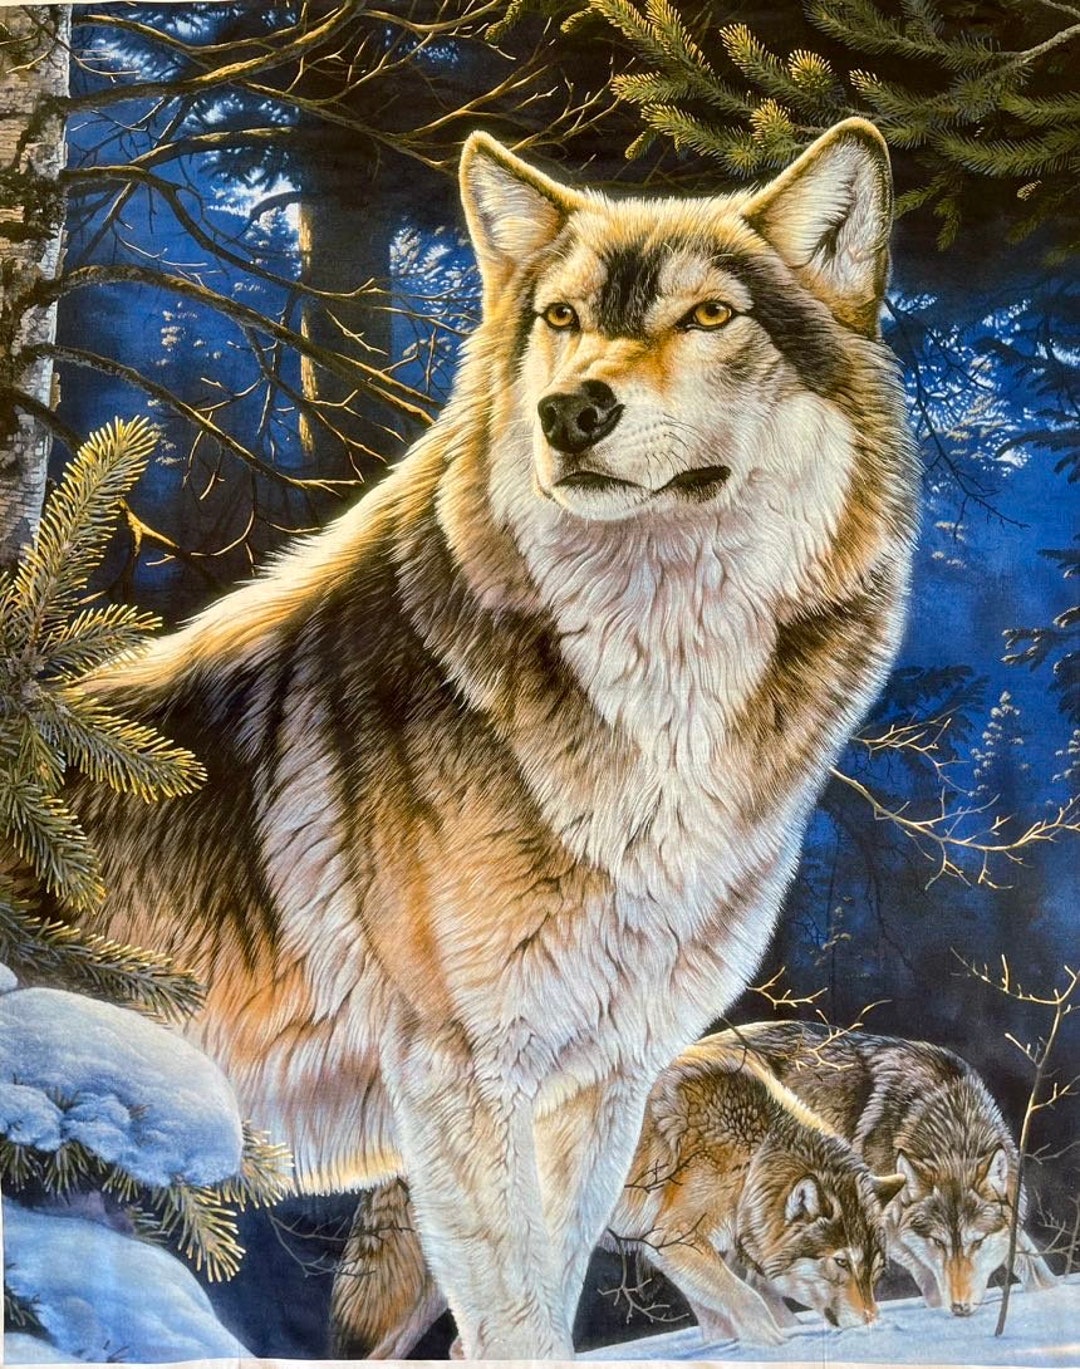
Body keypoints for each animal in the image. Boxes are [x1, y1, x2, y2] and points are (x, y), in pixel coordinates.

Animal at [331, 1037, 905, 1356]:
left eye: (875, 1271)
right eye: (839, 1262)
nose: (874, 1324)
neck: (752, 1154)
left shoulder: (693, 1258)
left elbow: (736, 1315)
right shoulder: (675, 1244)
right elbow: (752, 1306)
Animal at [727, 1021, 1057, 1315]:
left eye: (977, 1241)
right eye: (938, 1242)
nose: (960, 1308)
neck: (951, 1131)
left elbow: (1034, 1265)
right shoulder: (891, 1229)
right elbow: (928, 1279)